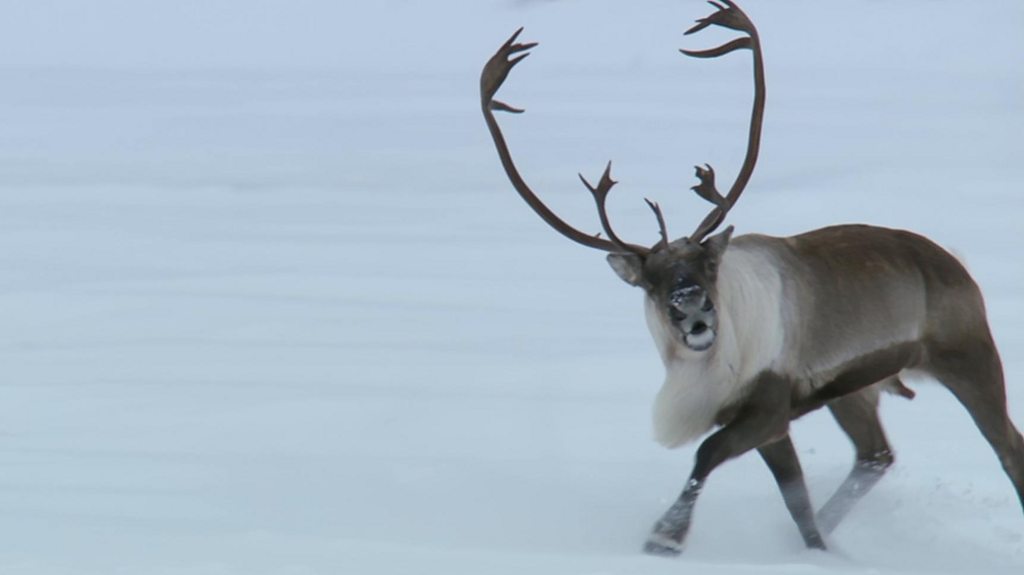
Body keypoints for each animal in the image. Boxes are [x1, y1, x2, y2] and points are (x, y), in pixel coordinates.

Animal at [479, 0, 1024, 556]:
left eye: (707, 265)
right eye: (653, 279)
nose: (692, 309)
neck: (705, 369)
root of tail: (951, 261)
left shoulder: (769, 405)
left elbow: (707, 454)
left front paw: (664, 538)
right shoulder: (771, 419)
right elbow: (795, 498)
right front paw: (811, 546)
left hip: (967, 354)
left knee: (1007, 447)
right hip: (855, 390)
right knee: (875, 454)